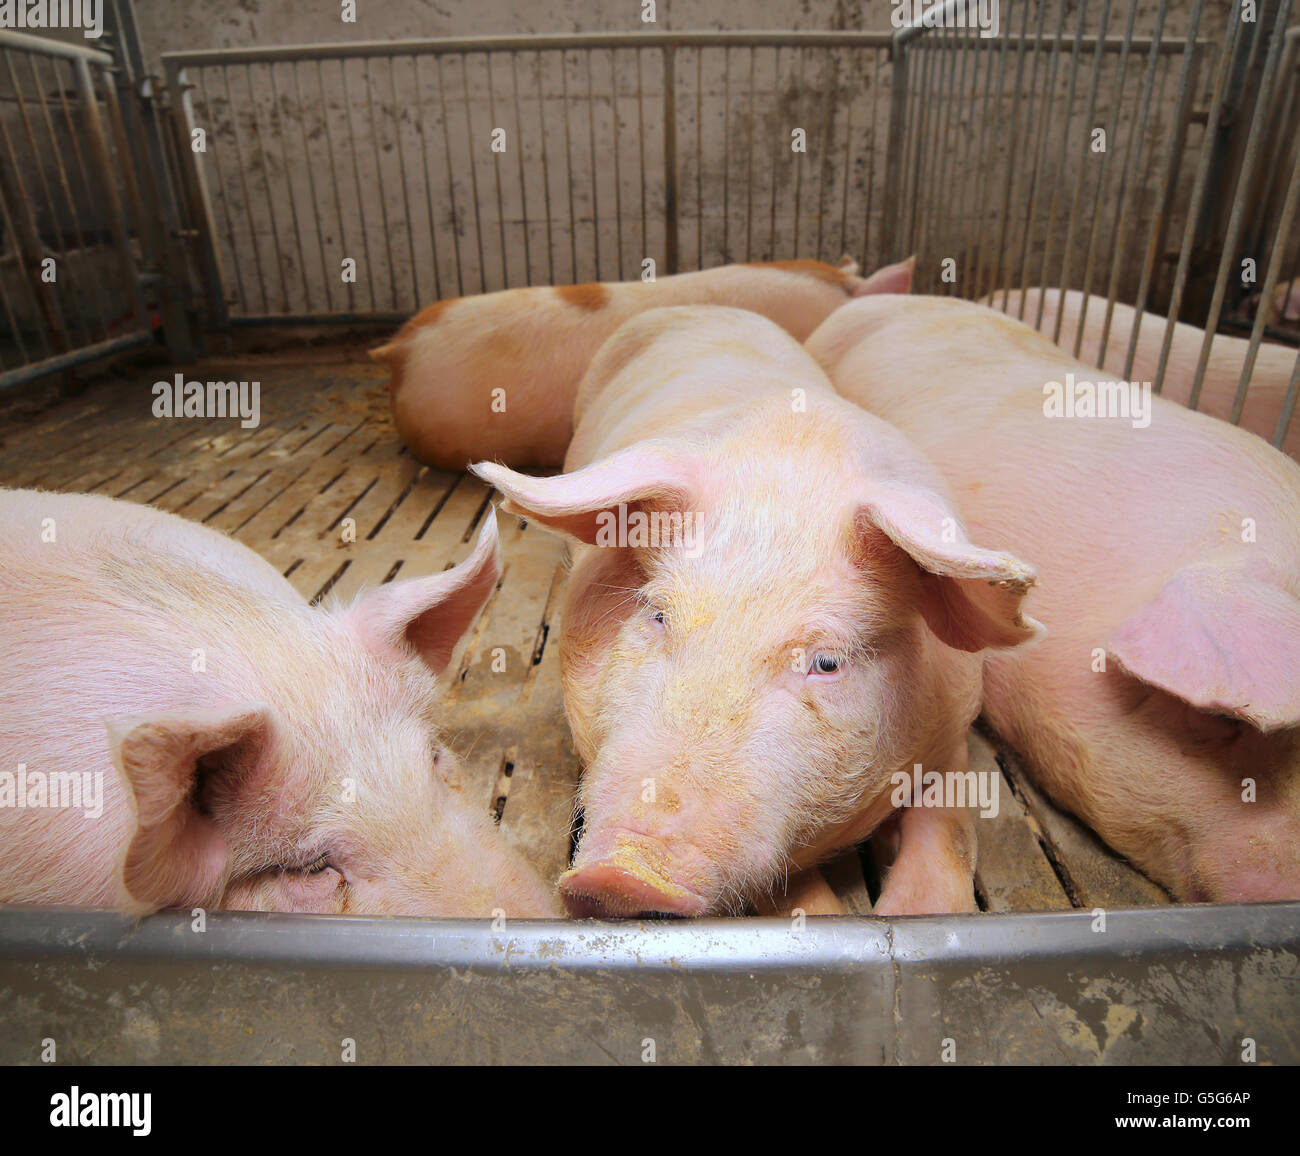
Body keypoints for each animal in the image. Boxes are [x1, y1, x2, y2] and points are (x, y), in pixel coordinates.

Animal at [471, 305, 1041, 918]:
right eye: (657, 616)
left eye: (827, 663)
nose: (622, 876)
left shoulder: (954, 726)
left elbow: (949, 824)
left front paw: (914, 913)